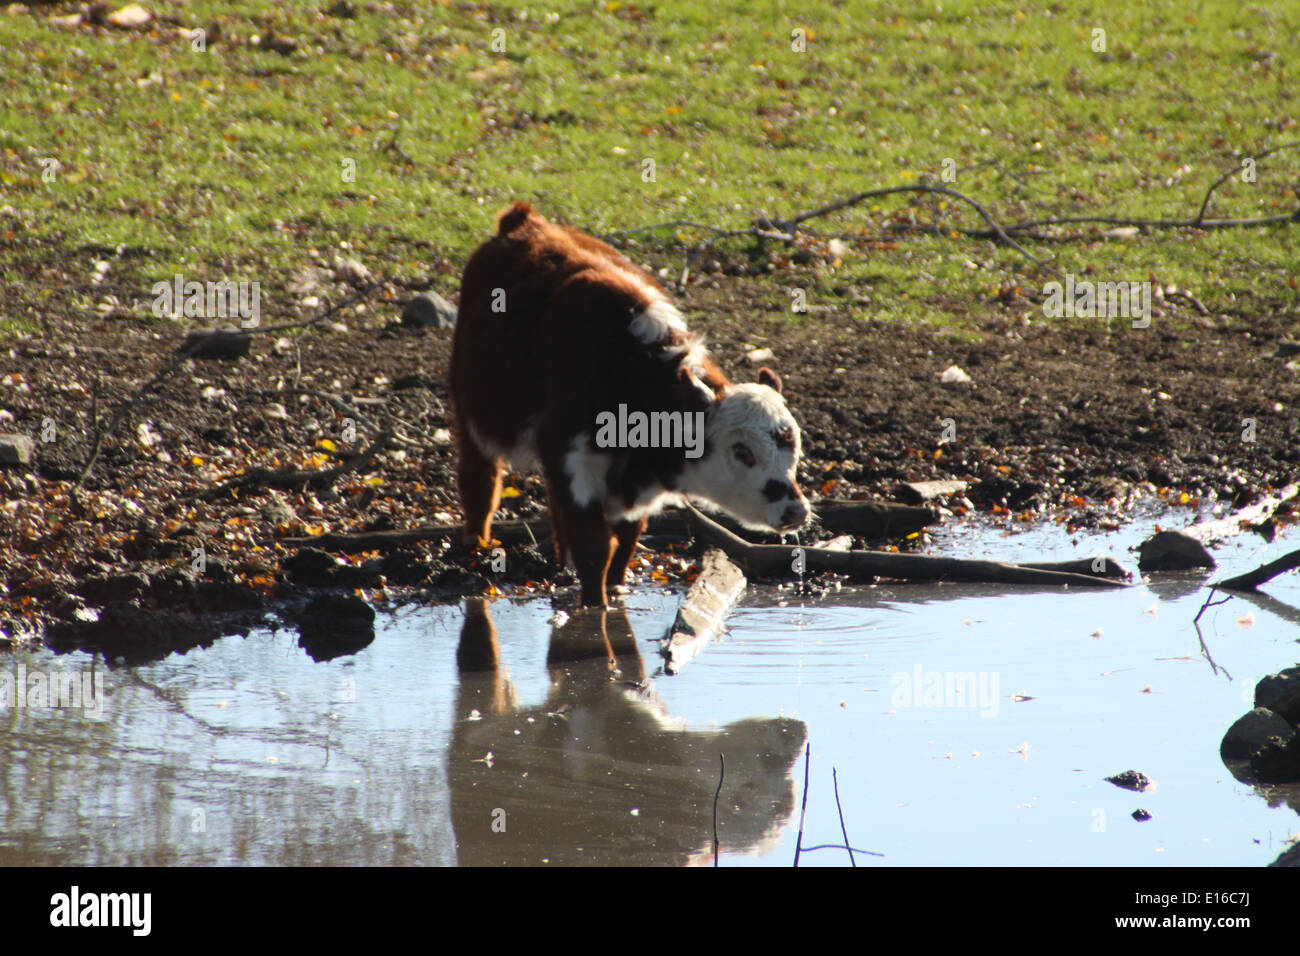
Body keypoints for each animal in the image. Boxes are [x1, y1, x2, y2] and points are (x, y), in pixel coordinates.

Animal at [449, 201, 809, 607]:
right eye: (742, 452)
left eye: (793, 443)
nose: (796, 510)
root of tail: (524, 221)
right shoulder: (572, 460)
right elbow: (596, 549)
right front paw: (596, 606)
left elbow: (623, 547)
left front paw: (616, 592)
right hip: (472, 408)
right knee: (480, 478)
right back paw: (478, 542)